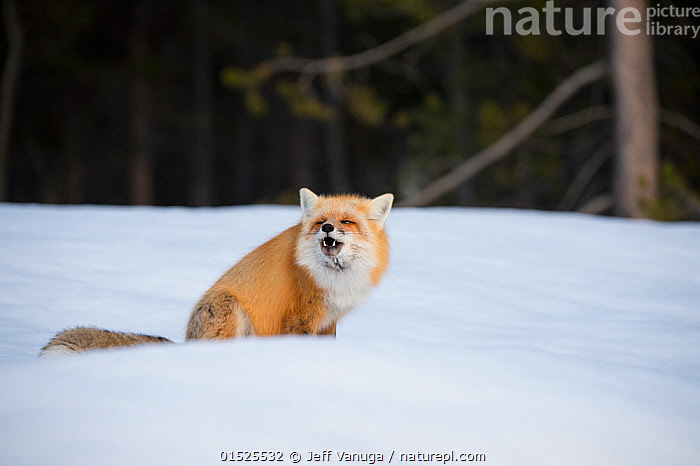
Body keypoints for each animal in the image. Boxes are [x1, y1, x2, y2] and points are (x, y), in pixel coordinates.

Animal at [40, 188, 393, 356]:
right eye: (321, 222)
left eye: (346, 221)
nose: (328, 228)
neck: (333, 280)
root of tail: (187, 341)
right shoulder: (299, 316)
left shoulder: (329, 319)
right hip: (230, 309)